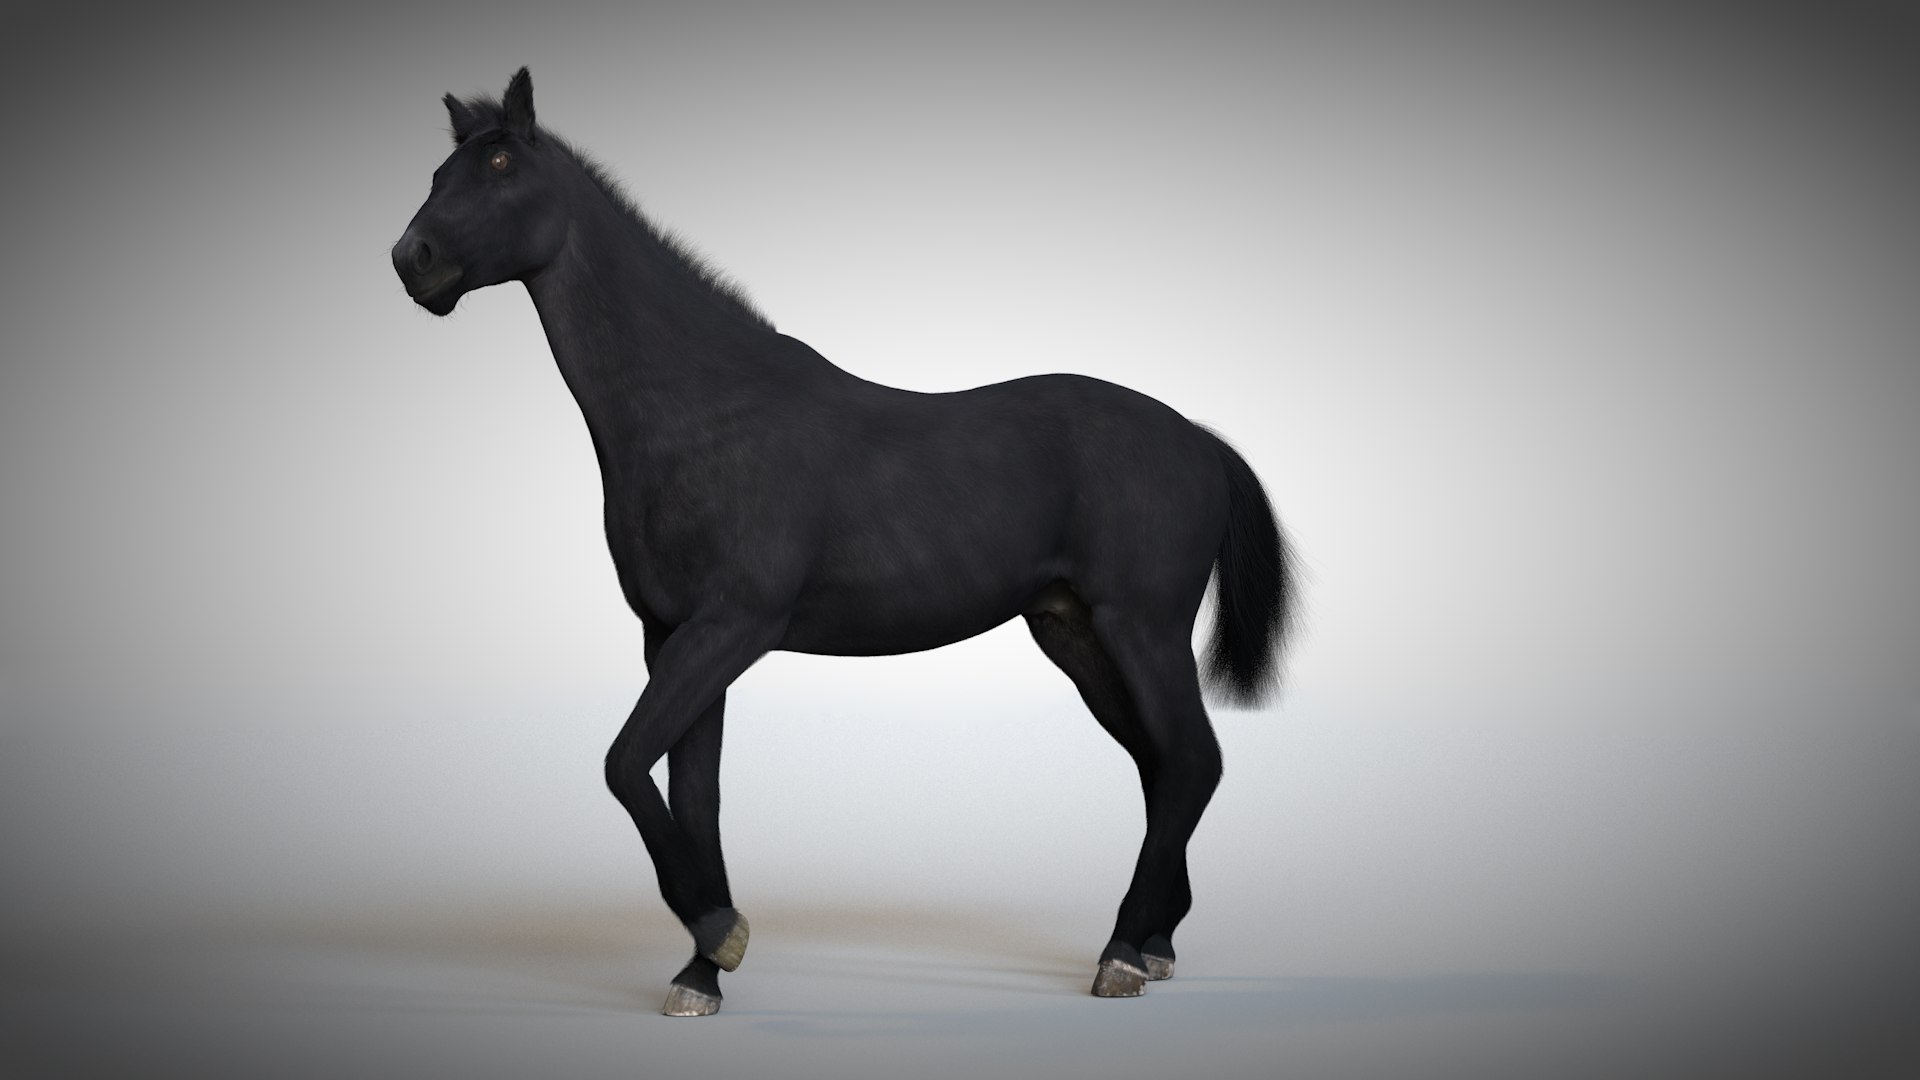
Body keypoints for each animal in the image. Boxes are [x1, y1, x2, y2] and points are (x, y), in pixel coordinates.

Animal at [392, 67, 1295, 1017]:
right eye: (439, 170)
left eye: (499, 164)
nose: (413, 259)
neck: (703, 411)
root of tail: (1199, 440)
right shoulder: (670, 636)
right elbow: (692, 795)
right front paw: (700, 971)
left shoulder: (731, 628)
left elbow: (624, 764)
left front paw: (721, 932)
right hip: (1076, 635)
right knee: (1165, 766)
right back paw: (1155, 943)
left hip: (1141, 629)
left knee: (1191, 761)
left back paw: (1120, 954)